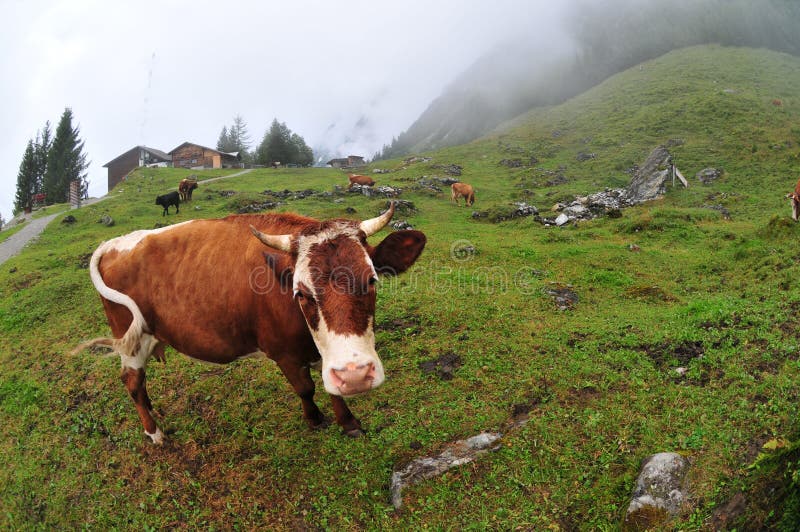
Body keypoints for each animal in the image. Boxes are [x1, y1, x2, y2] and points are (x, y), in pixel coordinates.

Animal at [73, 202, 426, 444]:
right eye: (301, 293)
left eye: (372, 280)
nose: (355, 376)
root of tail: (114, 242)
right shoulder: (282, 352)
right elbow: (306, 388)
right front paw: (315, 419)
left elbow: (330, 386)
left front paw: (348, 421)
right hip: (130, 337)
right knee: (132, 381)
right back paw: (155, 433)